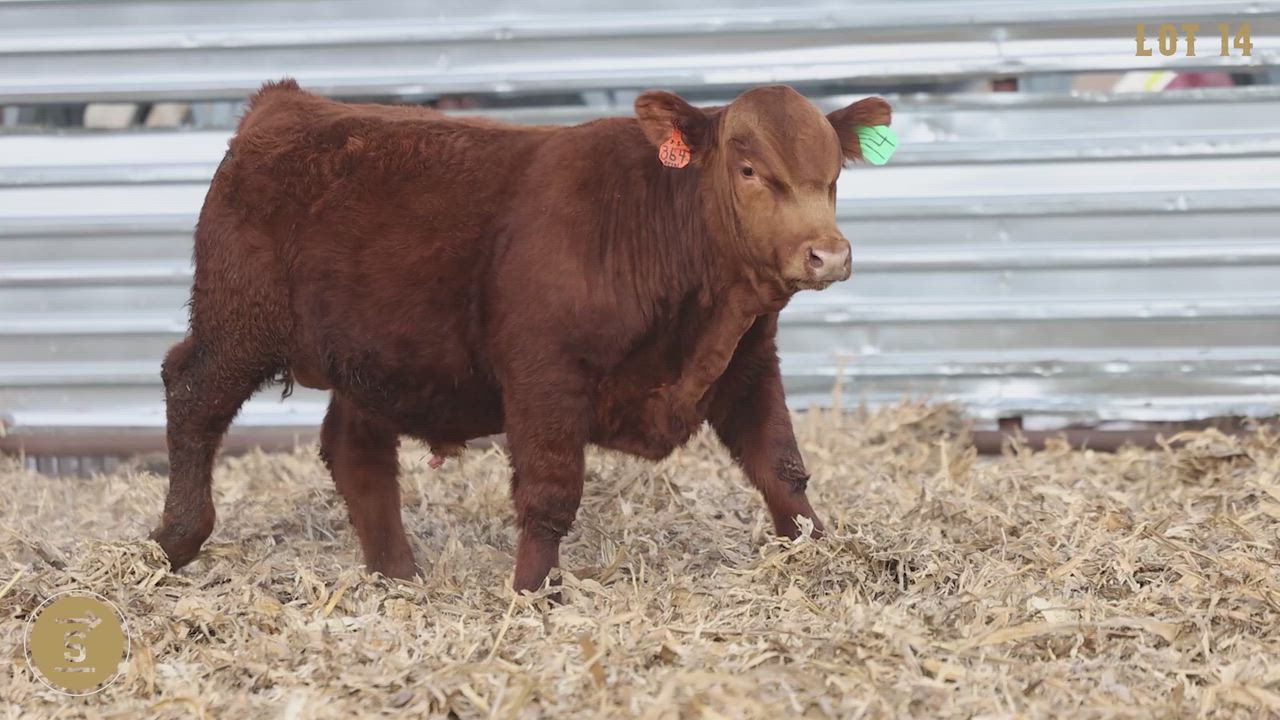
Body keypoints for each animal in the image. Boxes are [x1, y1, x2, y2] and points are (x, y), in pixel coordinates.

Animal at [152, 79, 892, 593]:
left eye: (833, 176)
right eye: (749, 170)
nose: (828, 255)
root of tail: (283, 105)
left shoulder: (747, 363)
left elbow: (782, 468)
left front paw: (825, 554)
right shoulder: (546, 378)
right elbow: (549, 494)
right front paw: (533, 594)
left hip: (371, 362)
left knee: (356, 454)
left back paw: (399, 574)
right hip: (235, 326)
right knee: (191, 399)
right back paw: (176, 540)